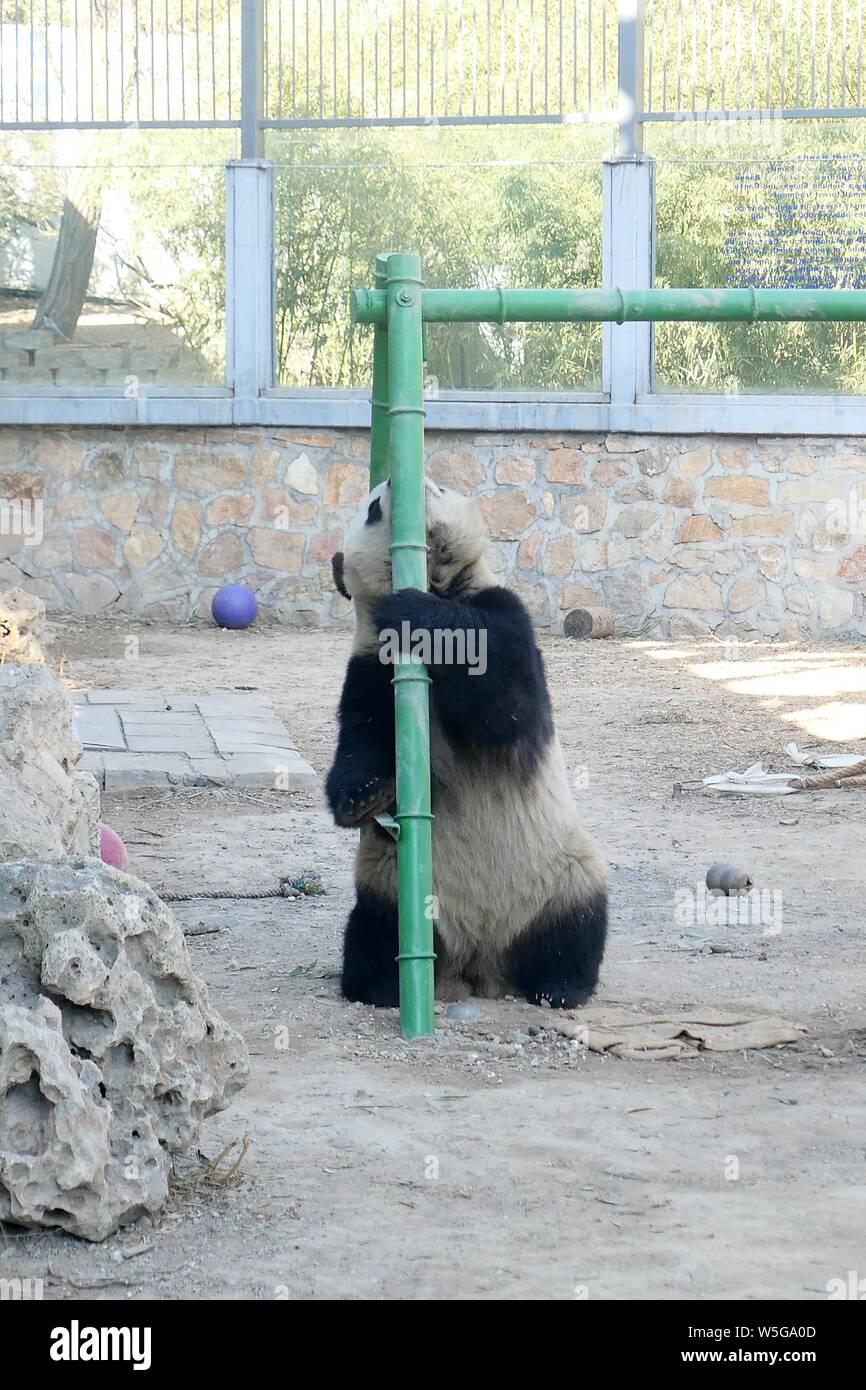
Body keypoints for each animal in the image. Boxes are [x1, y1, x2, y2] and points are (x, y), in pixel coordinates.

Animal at [325, 475, 607, 1009]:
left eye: (436, 485)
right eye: (372, 509)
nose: (400, 483)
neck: (436, 580)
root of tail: (481, 966)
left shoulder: (503, 609)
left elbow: (504, 702)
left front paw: (412, 609)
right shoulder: (369, 664)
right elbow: (361, 736)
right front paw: (363, 797)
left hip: (562, 871)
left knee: (577, 925)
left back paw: (560, 986)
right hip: (391, 883)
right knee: (375, 929)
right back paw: (380, 985)